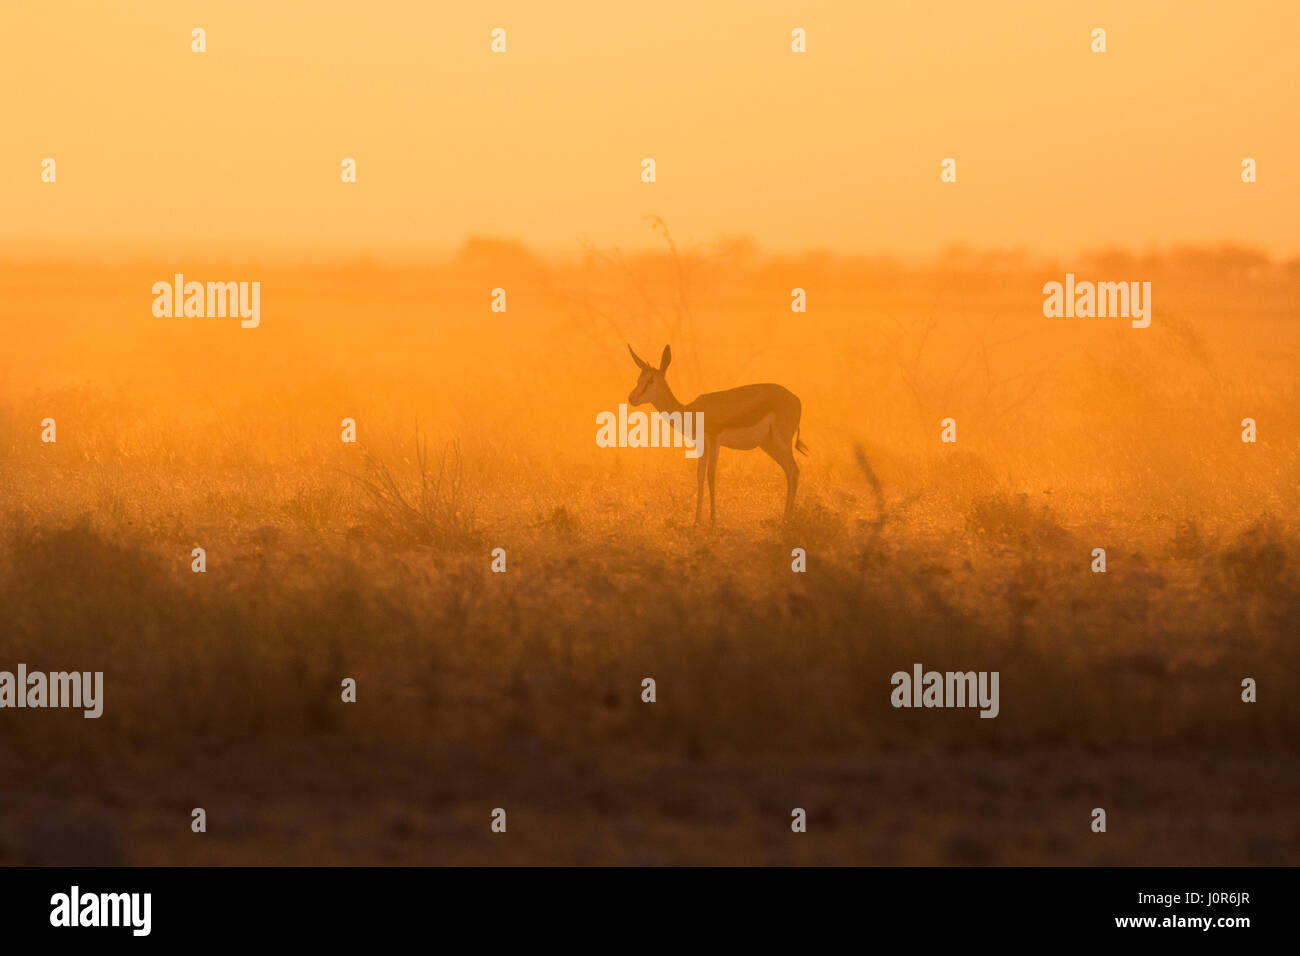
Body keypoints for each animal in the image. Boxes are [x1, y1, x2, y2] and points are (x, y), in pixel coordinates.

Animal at [627, 344, 808, 525]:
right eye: (639, 379)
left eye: (650, 380)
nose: (631, 398)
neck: (691, 411)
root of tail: (796, 399)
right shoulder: (701, 444)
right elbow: (700, 475)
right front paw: (697, 520)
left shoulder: (714, 439)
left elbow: (711, 474)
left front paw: (713, 520)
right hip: (769, 445)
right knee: (789, 472)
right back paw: (785, 517)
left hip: (781, 442)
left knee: (794, 471)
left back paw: (786, 519)